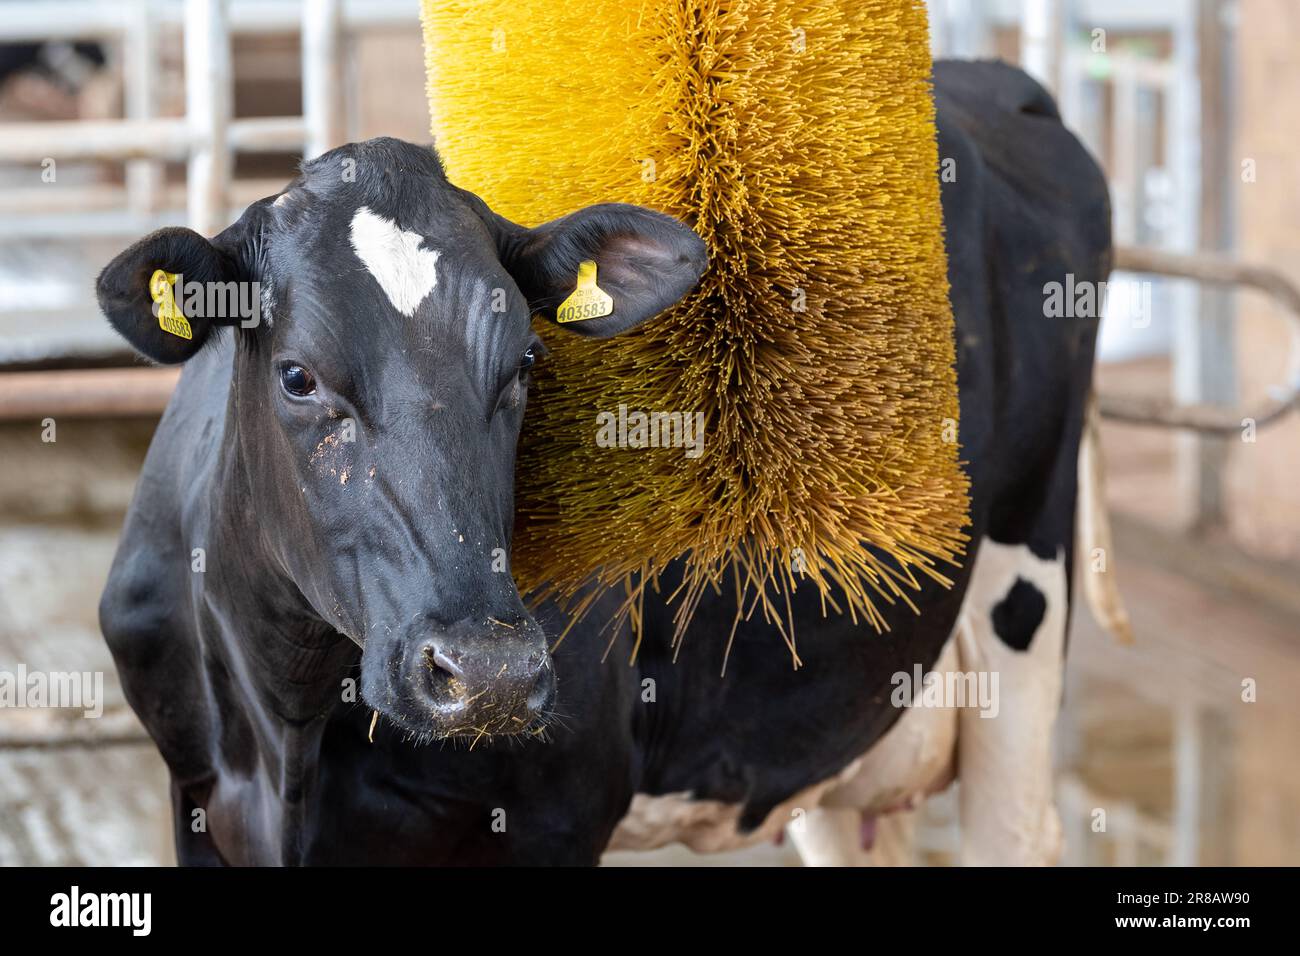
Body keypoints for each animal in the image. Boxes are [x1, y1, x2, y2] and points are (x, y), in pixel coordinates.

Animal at [97, 59, 1110, 865]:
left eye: (524, 363)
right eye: (299, 377)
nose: (490, 672)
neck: (289, 727)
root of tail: (994, 81)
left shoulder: (557, 808)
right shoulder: (198, 795)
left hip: (1021, 632)